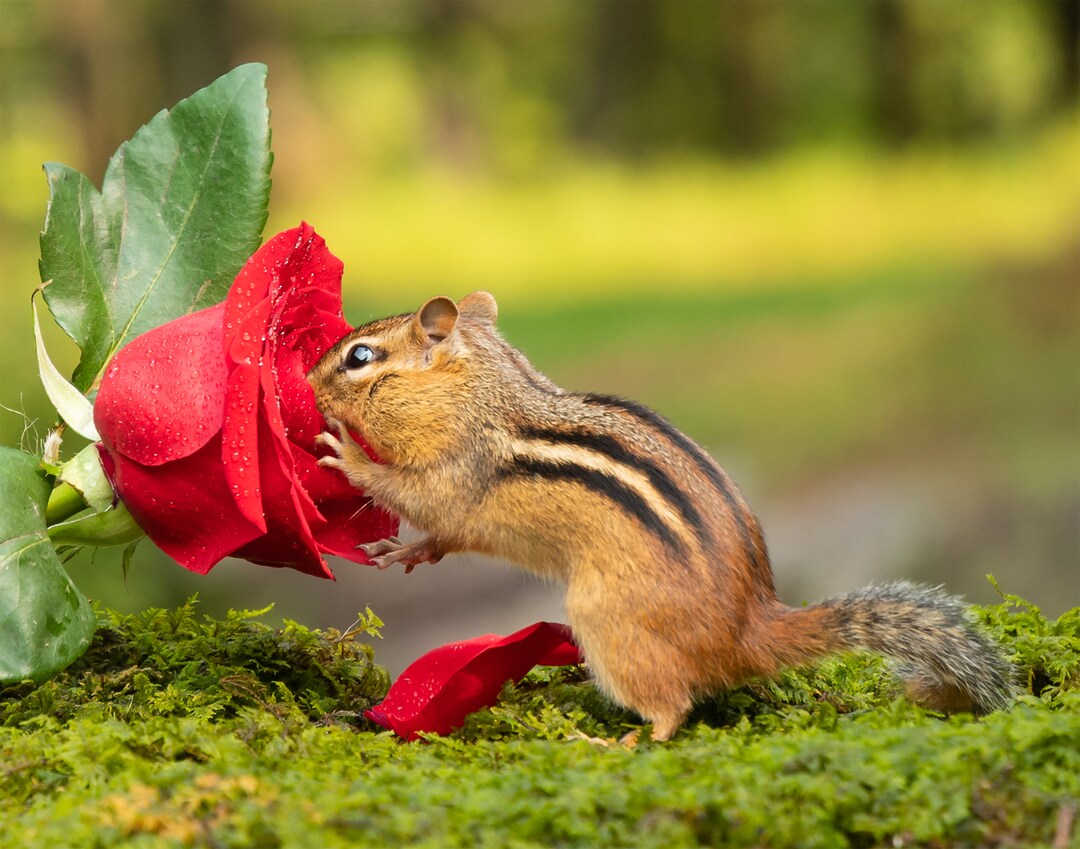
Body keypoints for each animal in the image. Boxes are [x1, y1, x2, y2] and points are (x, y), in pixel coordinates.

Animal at [307, 291, 1015, 741]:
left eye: (360, 358)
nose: (308, 383)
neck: (483, 396)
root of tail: (748, 631)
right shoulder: (461, 512)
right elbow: (441, 536)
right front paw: (401, 552)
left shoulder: (459, 469)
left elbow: (415, 495)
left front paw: (345, 454)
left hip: (605, 619)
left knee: (673, 711)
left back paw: (610, 745)